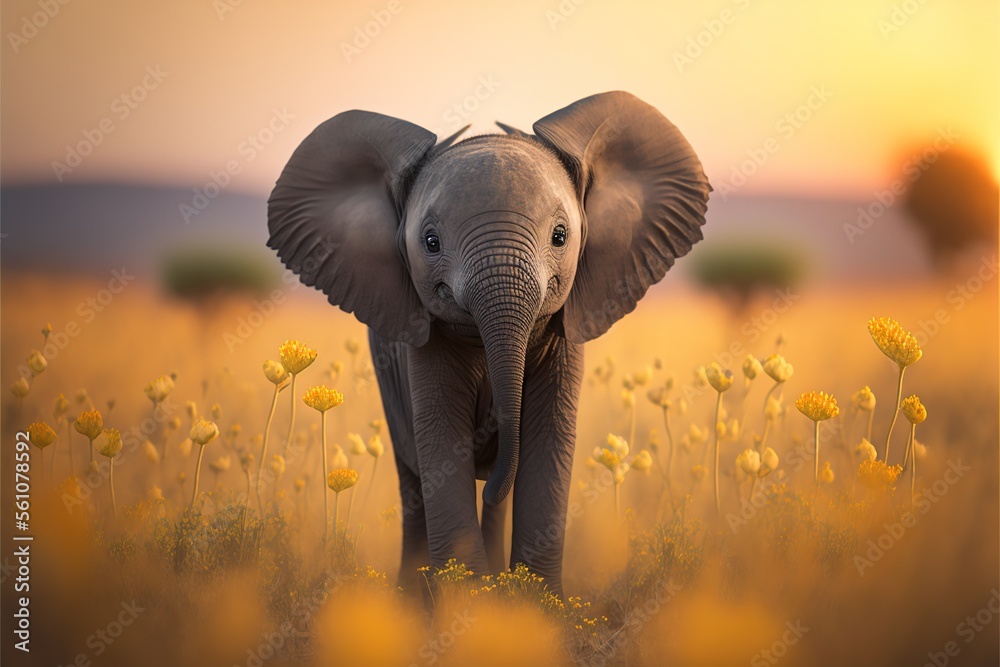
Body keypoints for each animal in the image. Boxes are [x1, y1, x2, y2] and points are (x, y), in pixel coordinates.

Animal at [267, 91, 711, 596]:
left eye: (560, 236)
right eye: (431, 242)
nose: (494, 457)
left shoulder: (564, 334)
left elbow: (549, 439)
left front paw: (532, 605)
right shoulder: (422, 338)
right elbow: (441, 442)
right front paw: (468, 601)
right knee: (411, 476)